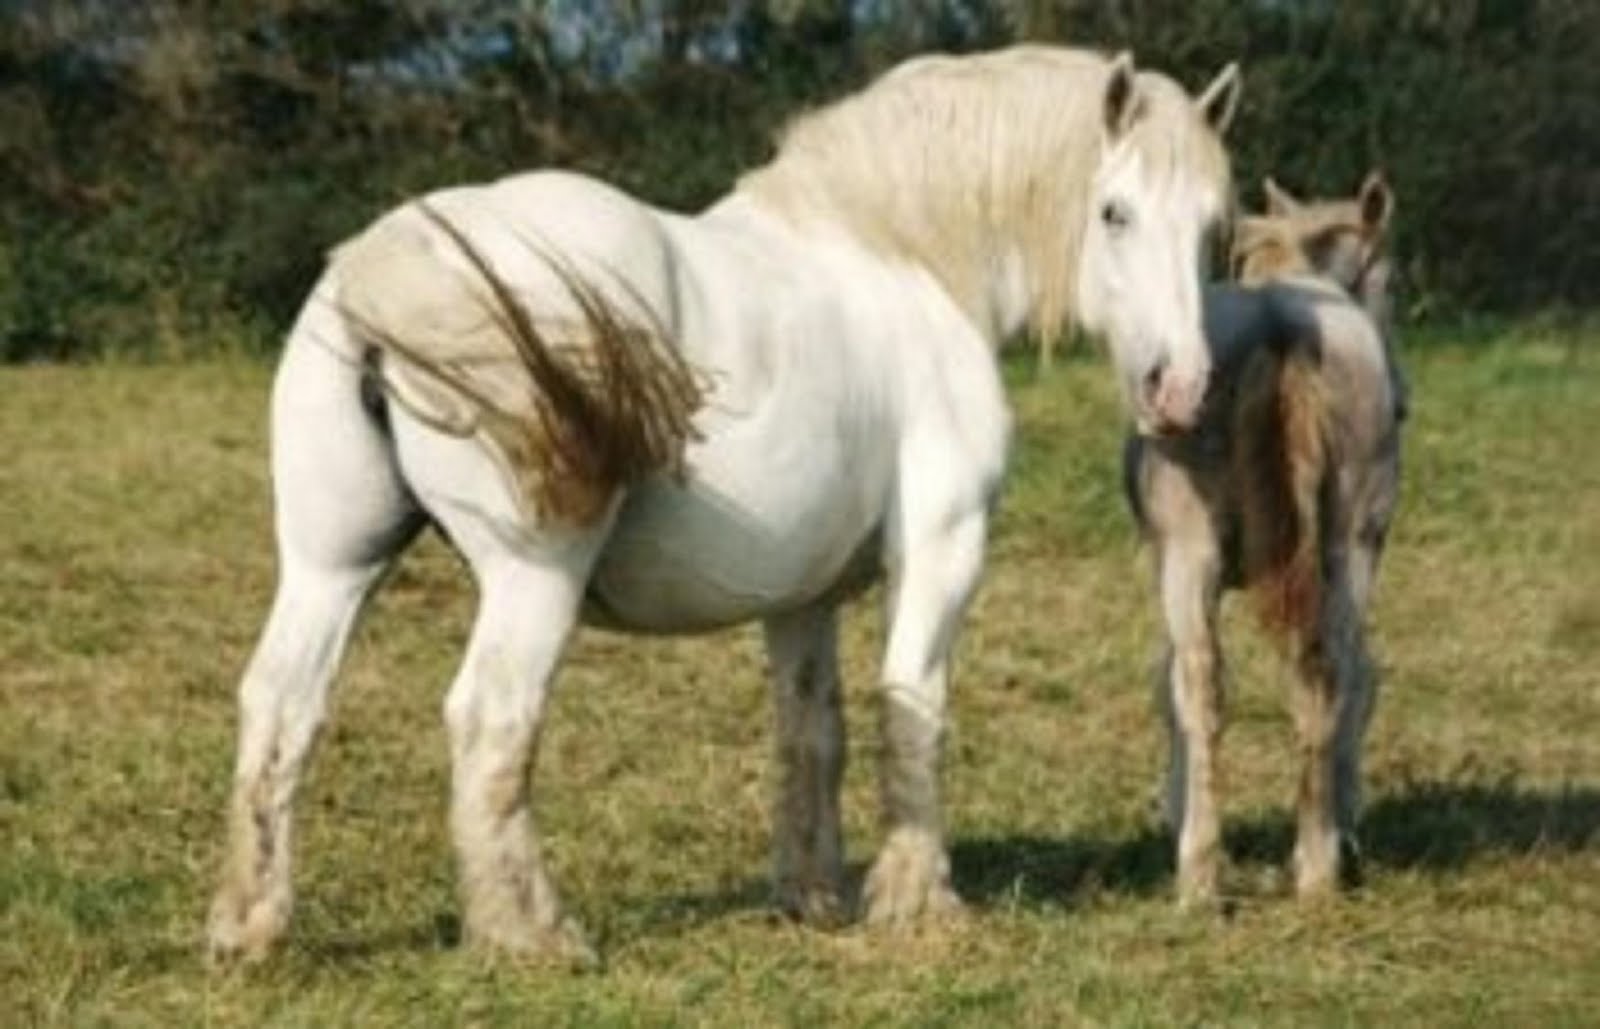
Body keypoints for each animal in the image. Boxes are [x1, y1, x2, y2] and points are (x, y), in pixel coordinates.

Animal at [206, 45, 1242, 964]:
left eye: (1214, 227)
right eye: (1114, 211)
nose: (1182, 389)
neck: (898, 252)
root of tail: (388, 270)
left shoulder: (803, 598)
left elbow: (812, 732)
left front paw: (814, 894)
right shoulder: (943, 550)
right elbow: (913, 706)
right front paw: (919, 900)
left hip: (332, 565)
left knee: (282, 705)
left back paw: (250, 927)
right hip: (531, 578)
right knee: (491, 717)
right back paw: (533, 936)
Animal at [1122, 173, 1403, 906]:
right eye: (1387, 281)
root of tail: (1285, 326)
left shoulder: (1170, 562)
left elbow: (1169, 683)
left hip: (1191, 558)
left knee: (1204, 685)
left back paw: (1199, 874)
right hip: (1351, 548)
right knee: (1332, 673)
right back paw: (1317, 863)